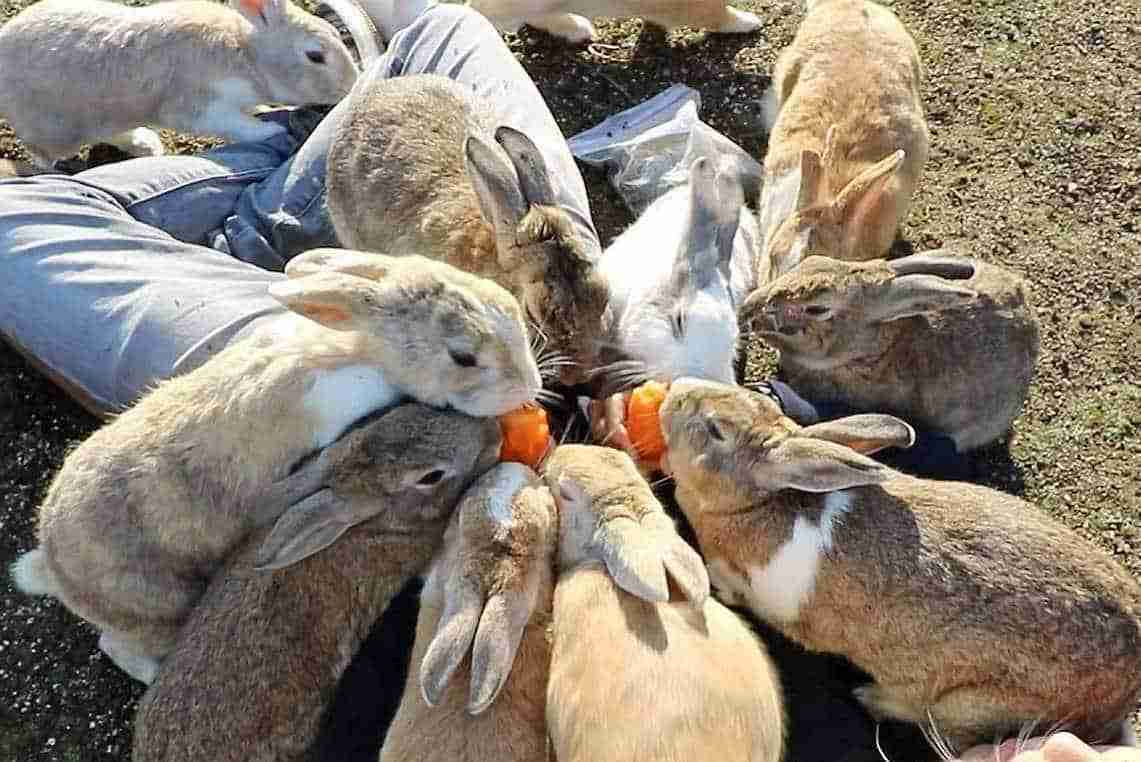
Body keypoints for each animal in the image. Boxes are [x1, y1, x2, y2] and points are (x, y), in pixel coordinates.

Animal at [0, 0, 359, 169]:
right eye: (315, 56)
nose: (352, 85)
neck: (246, 52)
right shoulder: (201, 105)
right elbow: (237, 124)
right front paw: (269, 130)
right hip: (54, 130)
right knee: (43, 152)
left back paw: (146, 144)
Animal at [9, 248, 540, 686]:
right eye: (463, 357)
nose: (530, 386)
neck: (359, 350)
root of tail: (52, 566)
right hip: (156, 606)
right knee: (116, 644)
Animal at [658, 377, 1141, 755]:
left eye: (716, 430)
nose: (673, 391)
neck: (755, 504)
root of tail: (1122, 695)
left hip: (962, 702)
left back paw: (870, 696)